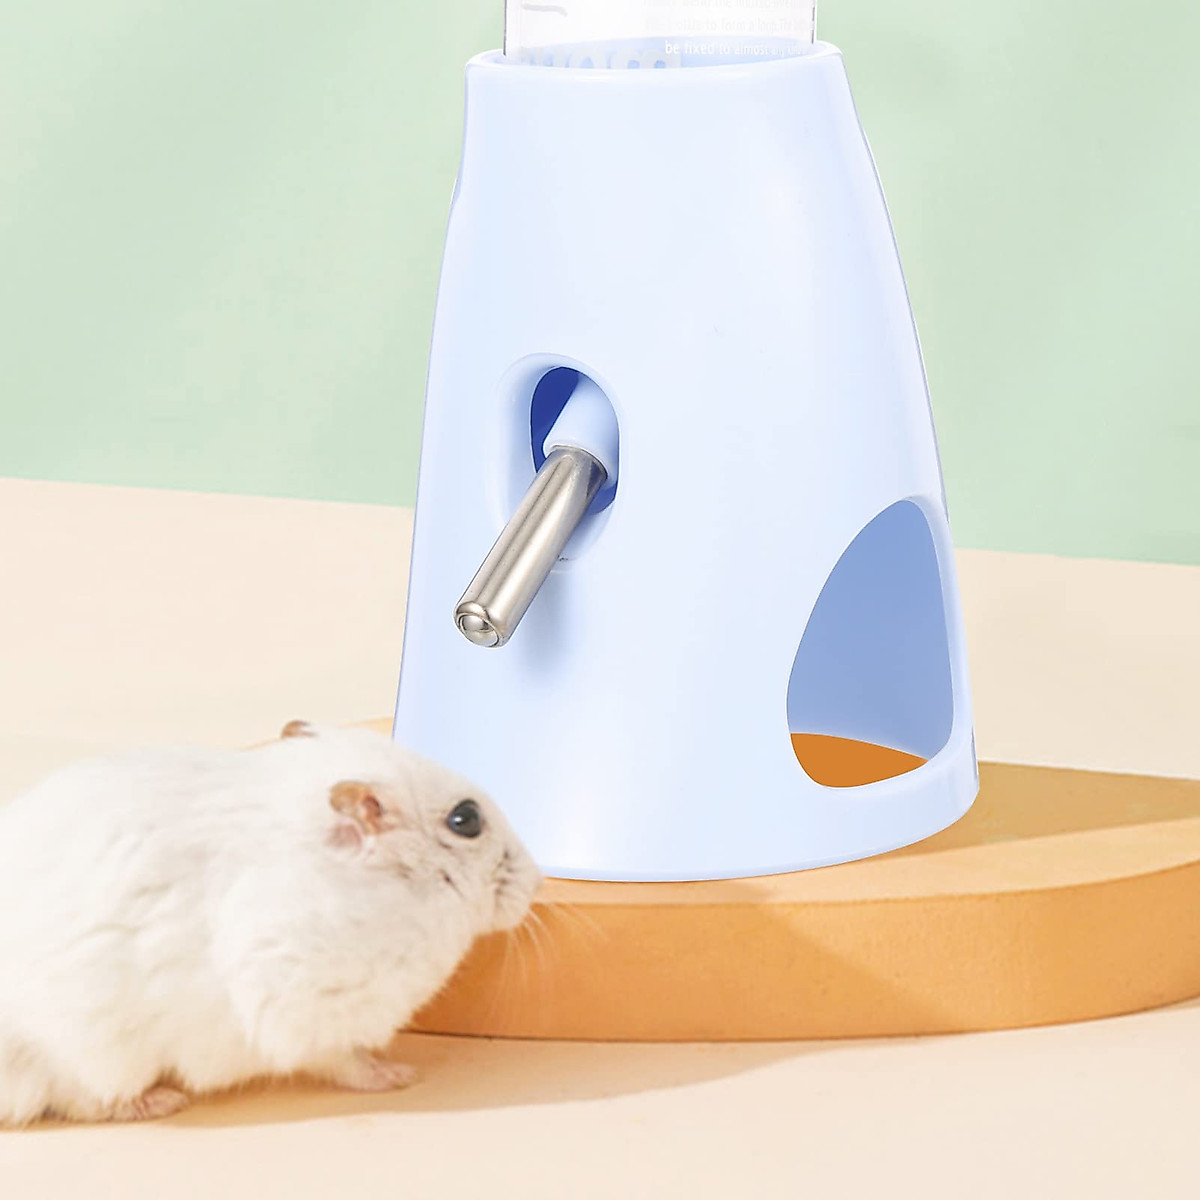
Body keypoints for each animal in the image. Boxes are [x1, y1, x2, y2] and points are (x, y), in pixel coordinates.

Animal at [0, 721, 541, 1124]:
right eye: (466, 820)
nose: (538, 882)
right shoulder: (305, 1007)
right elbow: (343, 1060)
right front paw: (400, 1075)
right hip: (90, 1051)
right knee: (83, 1099)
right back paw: (162, 1101)